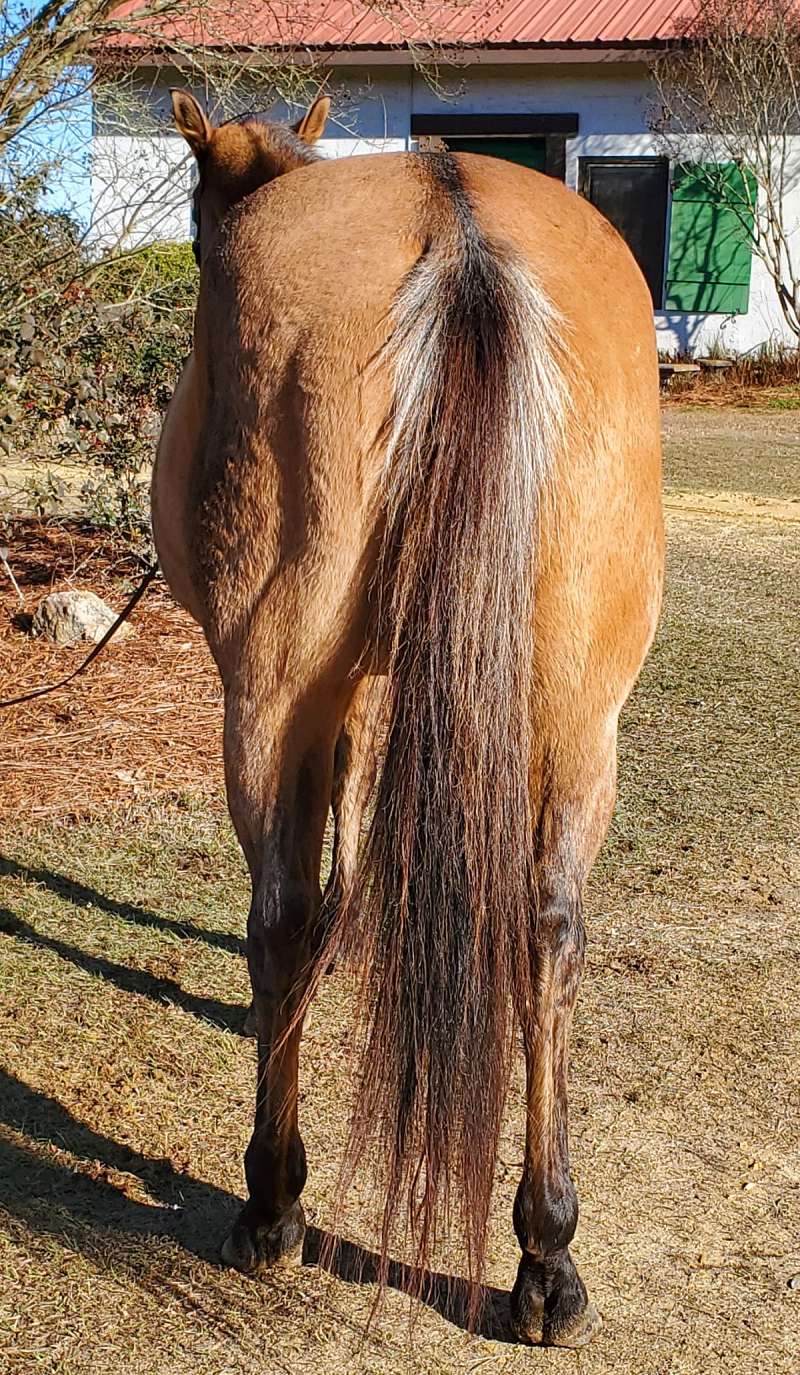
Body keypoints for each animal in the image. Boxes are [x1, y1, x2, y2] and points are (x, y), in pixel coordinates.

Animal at [152, 89, 664, 1348]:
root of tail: (457, 235)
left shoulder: (319, 689)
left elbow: (328, 819)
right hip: (578, 708)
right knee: (548, 925)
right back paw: (545, 1256)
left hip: (268, 685)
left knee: (278, 913)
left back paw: (271, 1205)